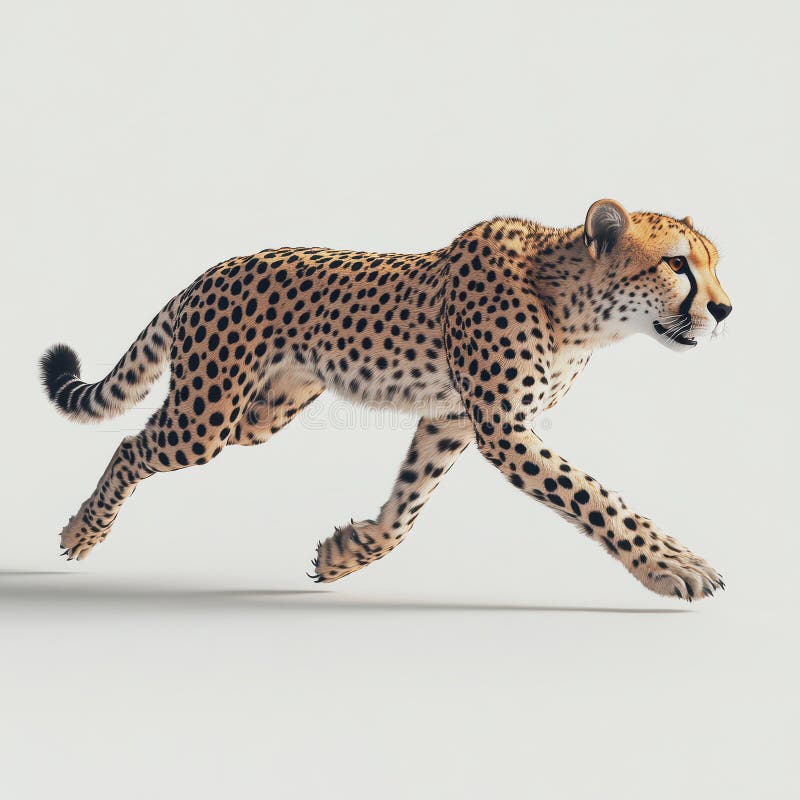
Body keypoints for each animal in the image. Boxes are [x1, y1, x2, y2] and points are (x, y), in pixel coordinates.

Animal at [40, 199, 732, 601]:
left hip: (258, 415)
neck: (579, 311)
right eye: (677, 265)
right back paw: (83, 530)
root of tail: (207, 273)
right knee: (132, 443)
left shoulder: (452, 419)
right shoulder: (502, 426)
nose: (725, 310)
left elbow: (409, 505)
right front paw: (672, 564)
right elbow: (596, 497)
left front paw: (346, 554)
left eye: (715, 264)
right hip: (205, 418)